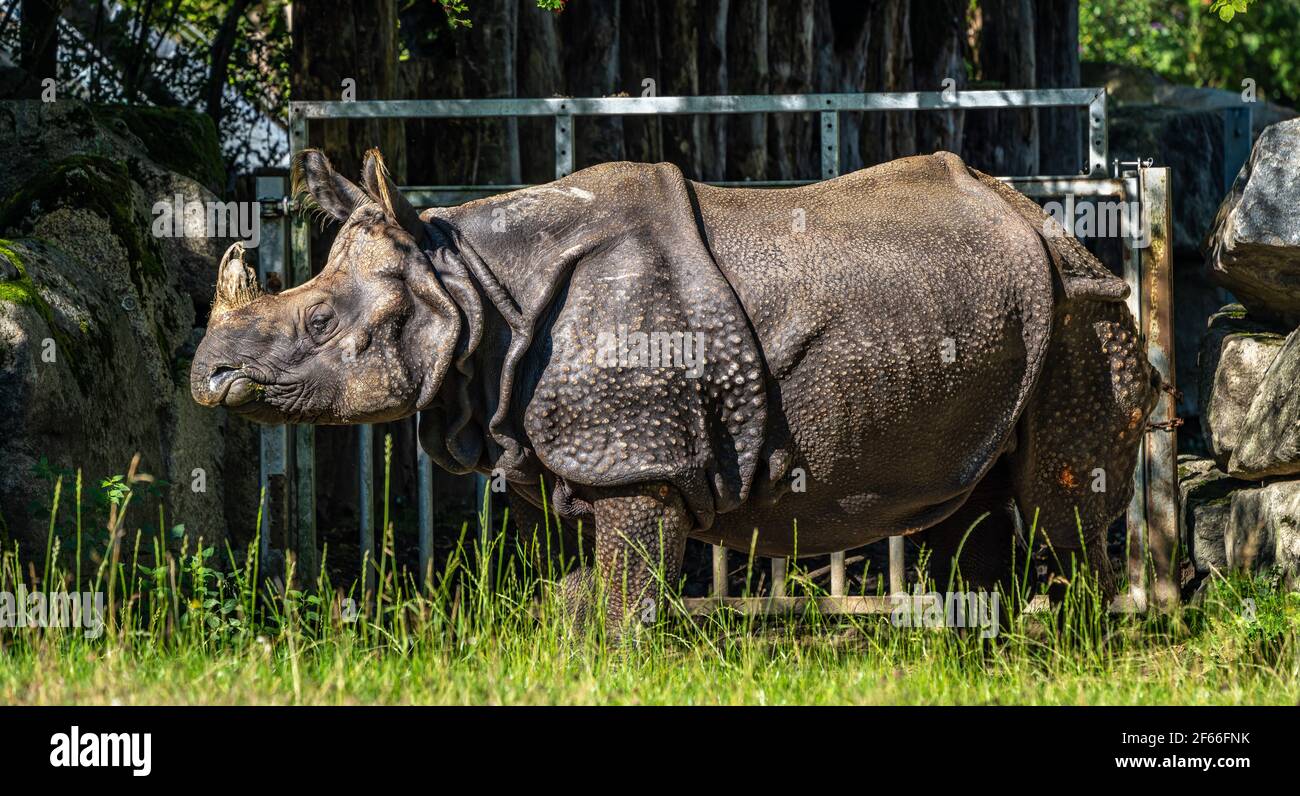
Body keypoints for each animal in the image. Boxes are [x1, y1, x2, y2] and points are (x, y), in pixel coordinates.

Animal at [191, 147, 1159, 628]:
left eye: (319, 322)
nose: (207, 377)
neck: (467, 286)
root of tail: (1046, 220)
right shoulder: (583, 449)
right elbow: (582, 591)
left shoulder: (640, 458)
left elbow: (630, 596)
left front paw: (619, 662)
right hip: (990, 307)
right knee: (974, 505)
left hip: (1078, 309)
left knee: (1059, 505)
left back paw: (1070, 650)